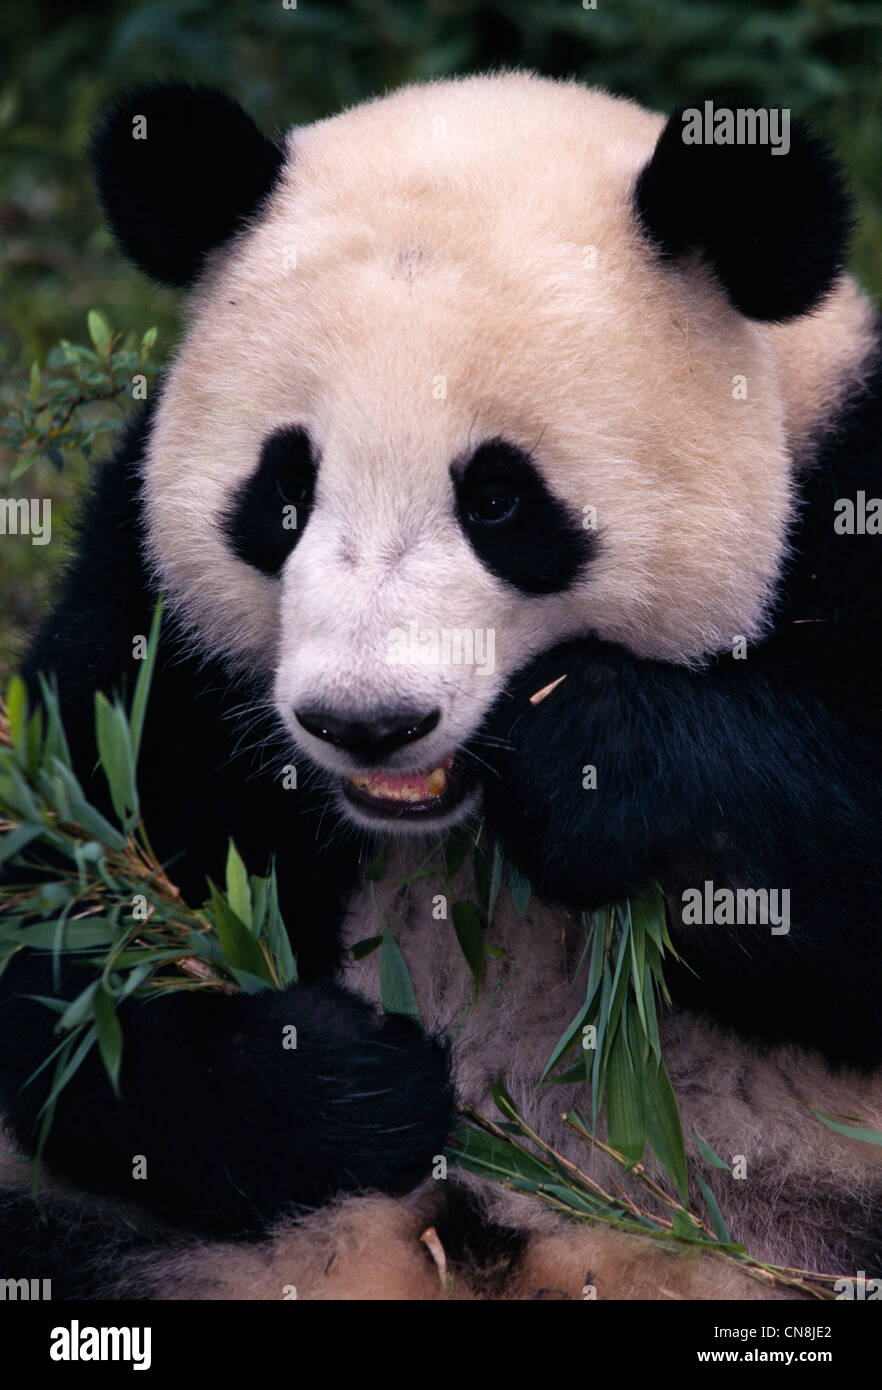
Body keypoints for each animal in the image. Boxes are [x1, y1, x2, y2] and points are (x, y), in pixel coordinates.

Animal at [1, 71, 880, 1302]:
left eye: (500, 501)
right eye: (285, 491)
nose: (366, 722)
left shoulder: (852, 483)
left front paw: (597, 765)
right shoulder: (156, 623)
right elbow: (68, 928)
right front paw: (356, 1081)